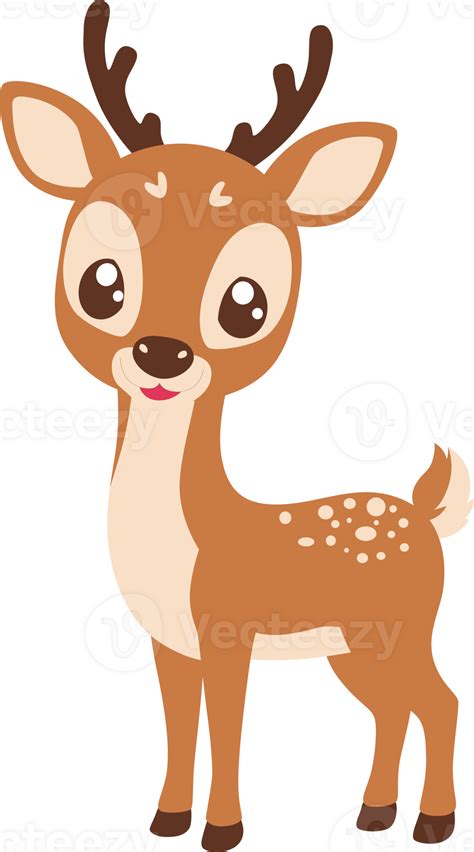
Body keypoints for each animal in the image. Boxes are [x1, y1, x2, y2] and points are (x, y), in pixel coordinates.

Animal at [1, 2, 472, 849]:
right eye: (102, 284)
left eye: (245, 303)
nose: (162, 353)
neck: (187, 537)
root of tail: (426, 514)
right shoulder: (169, 641)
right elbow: (178, 726)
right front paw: (165, 819)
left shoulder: (228, 634)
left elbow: (227, 726)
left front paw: (222, 830)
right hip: (355, 647)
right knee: (394, 708)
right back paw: (374, 813)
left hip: (398, 628)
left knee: (441, 701)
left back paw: (431, 823)